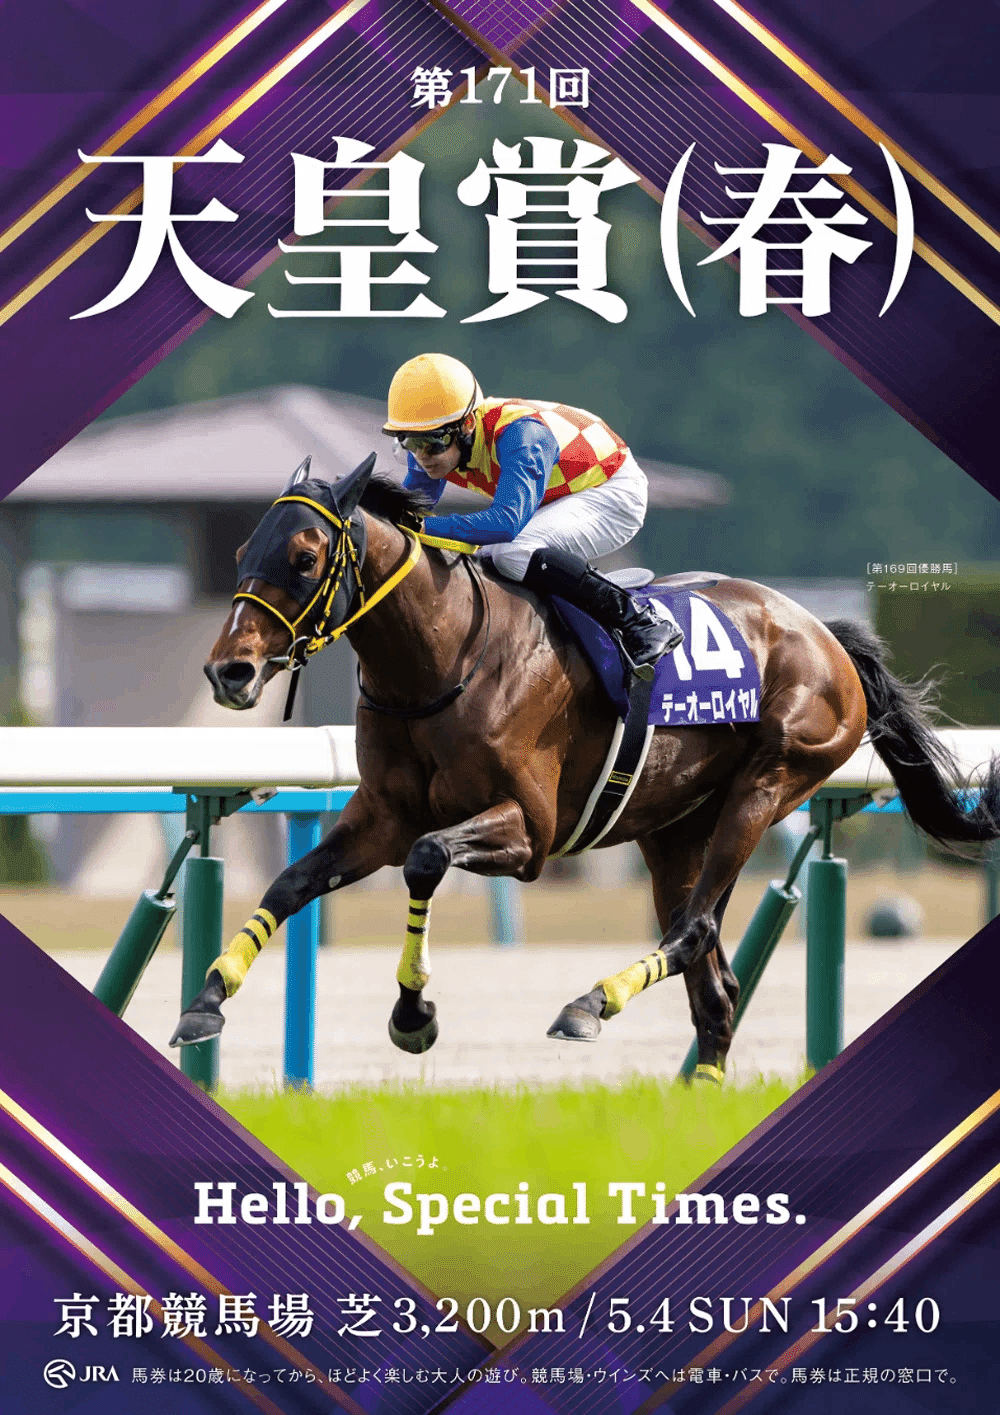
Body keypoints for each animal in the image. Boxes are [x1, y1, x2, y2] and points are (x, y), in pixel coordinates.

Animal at [171, 455, 1000, 1079]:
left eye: (305, 557)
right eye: (243, 552)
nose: (229, 671)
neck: (443, 660)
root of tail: (822, 631)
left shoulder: (528, 832)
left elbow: (427, 858)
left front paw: (413, 1012)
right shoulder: (382, 814)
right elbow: (292, 882)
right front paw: (208, 996)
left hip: (769, 784)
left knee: (694, 931)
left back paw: (589, 1004)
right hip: (675, 828)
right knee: (715, 987)